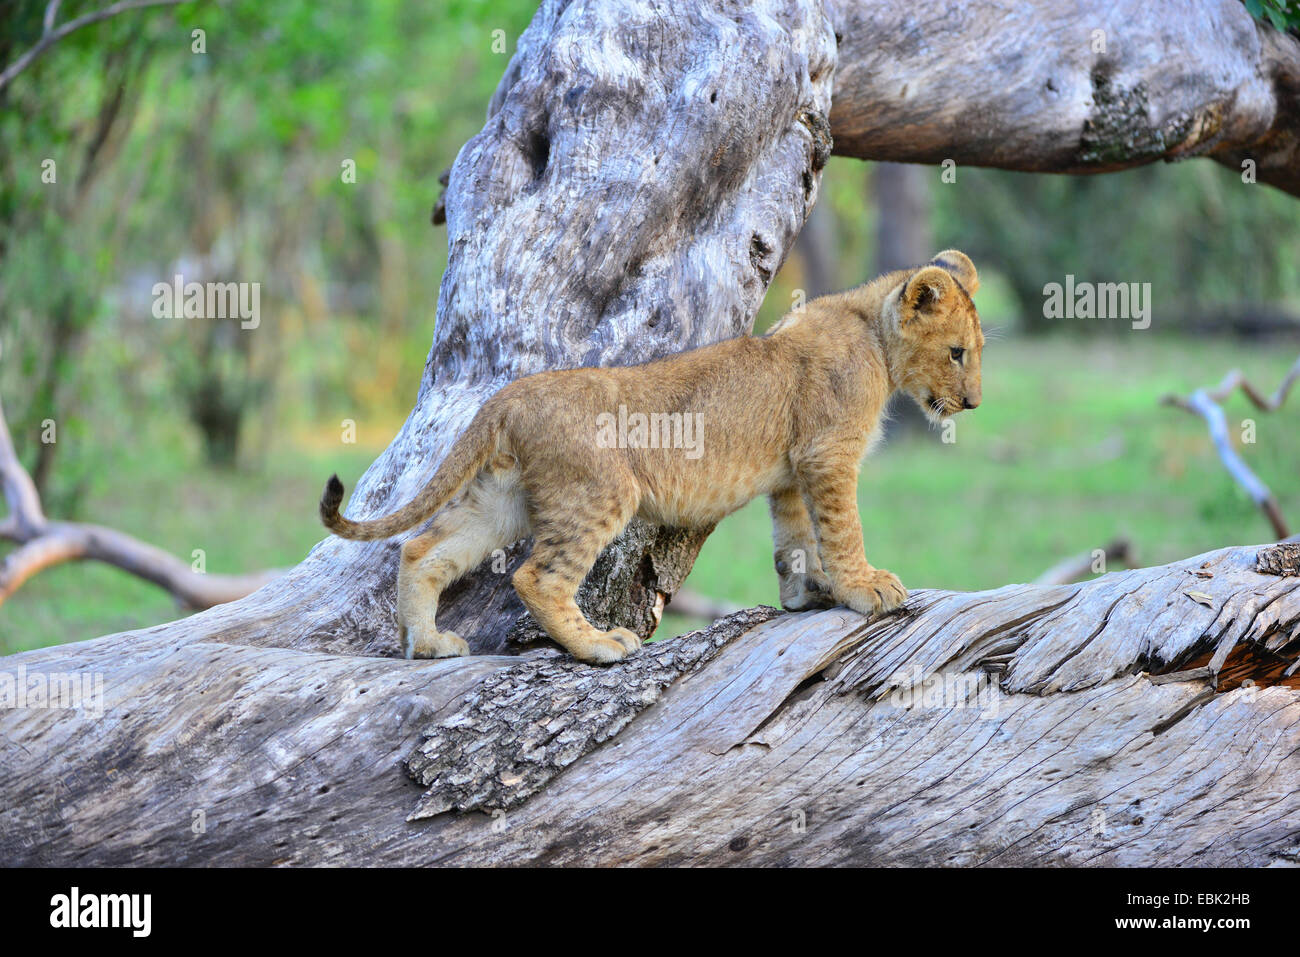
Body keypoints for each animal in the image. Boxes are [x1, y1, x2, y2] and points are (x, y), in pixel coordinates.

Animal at [320, 250, 984, 664]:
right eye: (956, 352)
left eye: (974, 351)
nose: (974, 403)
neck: (873, 333)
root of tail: (508, 395)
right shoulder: (828, 456)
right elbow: (843, 529)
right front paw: (863, 587)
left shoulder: (794, 470)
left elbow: (795, 538)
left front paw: (808, 593)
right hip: (599, 493)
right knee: (535, 576)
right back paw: (598, 647)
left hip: (502, 500)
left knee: (422, 549)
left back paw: (429, 644)